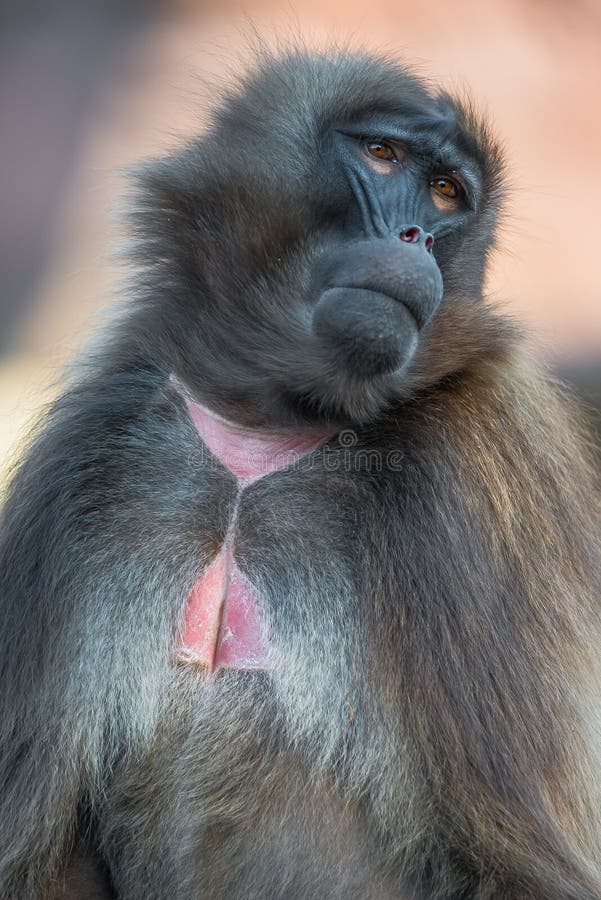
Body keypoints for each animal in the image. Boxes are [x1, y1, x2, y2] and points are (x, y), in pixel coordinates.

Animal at [0, 46, 600, 900]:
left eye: (446, 194)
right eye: (380, 154)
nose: (414, 237)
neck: (269, 431)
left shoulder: (469, 488)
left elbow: (519, 866)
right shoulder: (89, 459)